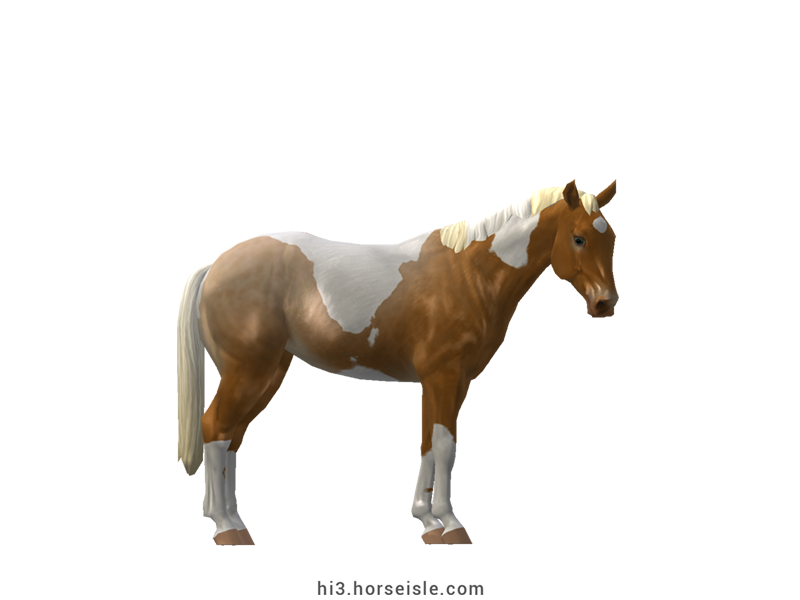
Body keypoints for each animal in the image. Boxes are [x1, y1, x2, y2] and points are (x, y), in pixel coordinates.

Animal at [177, 179, 619, 544]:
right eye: (578, 238)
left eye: (610, 236)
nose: (604, 302)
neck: (469, 275)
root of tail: (215, 267)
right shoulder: (443, 374)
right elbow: (444, 444)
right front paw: (449, 522)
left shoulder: (445, 380)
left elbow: (426, 443)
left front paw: (425, 520)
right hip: (246, 371)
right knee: (214, 428)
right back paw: (223, 528)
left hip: (261, 378)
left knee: (227, 436)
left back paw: (229, 517)